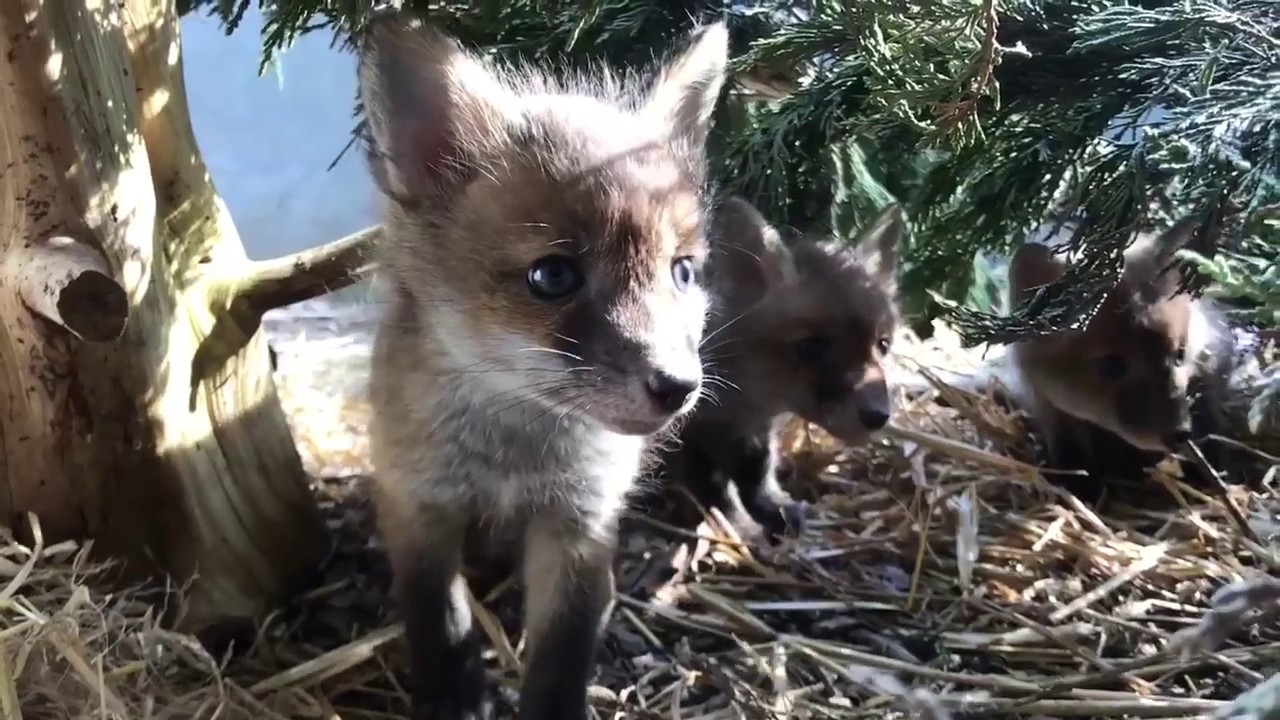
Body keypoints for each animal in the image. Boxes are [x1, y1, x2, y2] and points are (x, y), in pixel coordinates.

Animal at [356, 13, 729, 720]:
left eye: (683, 273)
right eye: (552, 276)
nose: (678, 386)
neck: (514, 452)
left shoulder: (580, 524)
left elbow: (564, 650)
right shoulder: (418, 503)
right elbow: (439, 621)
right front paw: (452, 700)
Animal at [659, 196, 905, 542]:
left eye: (883, 345)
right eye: (812, 346)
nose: (877, 416)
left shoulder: (756, 431)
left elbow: (758, 475)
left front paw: (776, 507)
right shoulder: (690, 431)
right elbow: (716, 493)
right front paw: (742, 530)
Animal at [1006, 215, 1235, 502]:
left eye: (1180, 354)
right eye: (1111, 365)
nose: (1180, 434)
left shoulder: (1207, 368)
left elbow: (1210, 423)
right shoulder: (1049, 405)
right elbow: (1071, 453)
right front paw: (1081, 489)